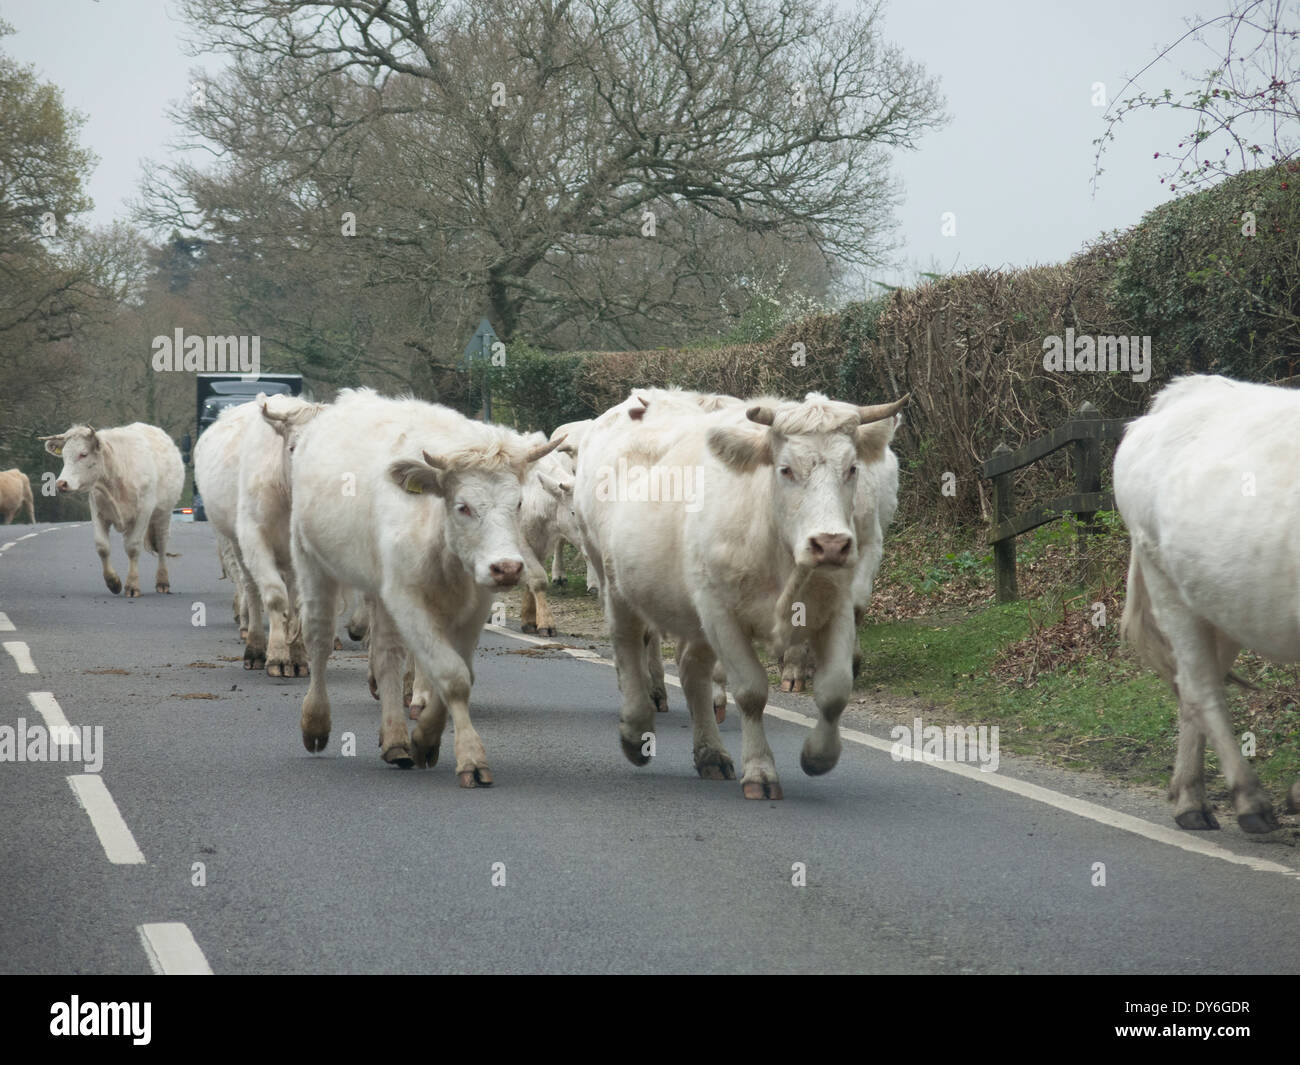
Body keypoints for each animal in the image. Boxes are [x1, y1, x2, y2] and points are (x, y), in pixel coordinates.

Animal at [39, 423, 183, 596]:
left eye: (83, 454)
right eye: (64, 455)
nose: (61, 483)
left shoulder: (144, 512)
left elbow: (133, 547)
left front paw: (132, 586)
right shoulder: (97, 511)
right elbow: (102, 546)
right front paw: (113, 582)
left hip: (164, 513)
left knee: (161, 544)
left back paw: (162, 582)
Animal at [288, 388, 563, 783]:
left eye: (519, 503)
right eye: (463, 506)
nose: (507, 568)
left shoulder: (473, 608)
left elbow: (457, 674)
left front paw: (425, 739)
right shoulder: (408, 599)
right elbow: (452, 676)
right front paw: (471, 757)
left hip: (379, 589)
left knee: (386, 655)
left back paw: (395, 740)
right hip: (312, 562)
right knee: (320, 640)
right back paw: (315, 722)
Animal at [576, 389, 906, 799]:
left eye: (852, 469)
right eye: (785, 469)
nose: (830, 544)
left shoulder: (838, 605)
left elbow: (834, 690)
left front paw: (818, 755)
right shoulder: (719, 611)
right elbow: (750, 692)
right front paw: (761, 771)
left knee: (691, 670)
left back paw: (711, 755)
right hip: (615, 581)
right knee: (628, 647)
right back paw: (636, 732)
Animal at [1116, 374, 1300, 832]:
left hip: (1222, 605)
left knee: (1192, 686)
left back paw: (1190, 797)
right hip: (1167, 584)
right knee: (1201, 689)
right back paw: (1247, 799)